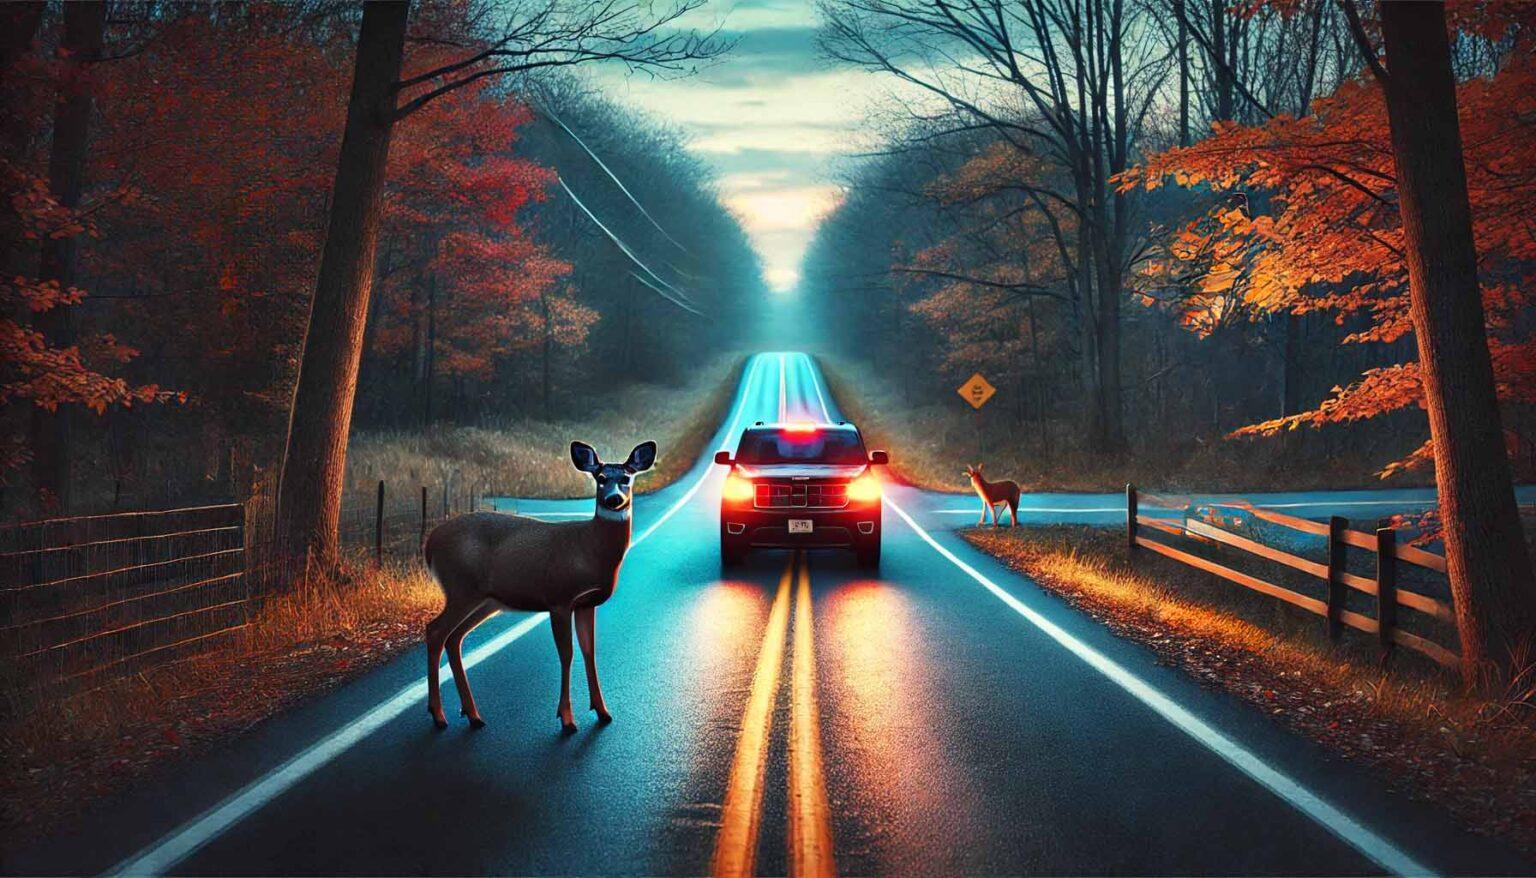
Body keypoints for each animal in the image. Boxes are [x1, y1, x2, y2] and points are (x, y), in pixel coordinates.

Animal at [423, 440, 656, 734]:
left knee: (454, 637)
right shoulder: (559, 598)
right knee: (435, 630)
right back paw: (439, 716)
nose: (613, 499)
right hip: (461, 587)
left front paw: (603, 712)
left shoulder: (586, 603)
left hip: (486, 600)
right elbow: (567, 654)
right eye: (601, 478)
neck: (589, 550)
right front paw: (567, 719)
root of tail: (430, 543)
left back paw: (473, 715)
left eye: (626, 478)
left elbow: (589, 651)